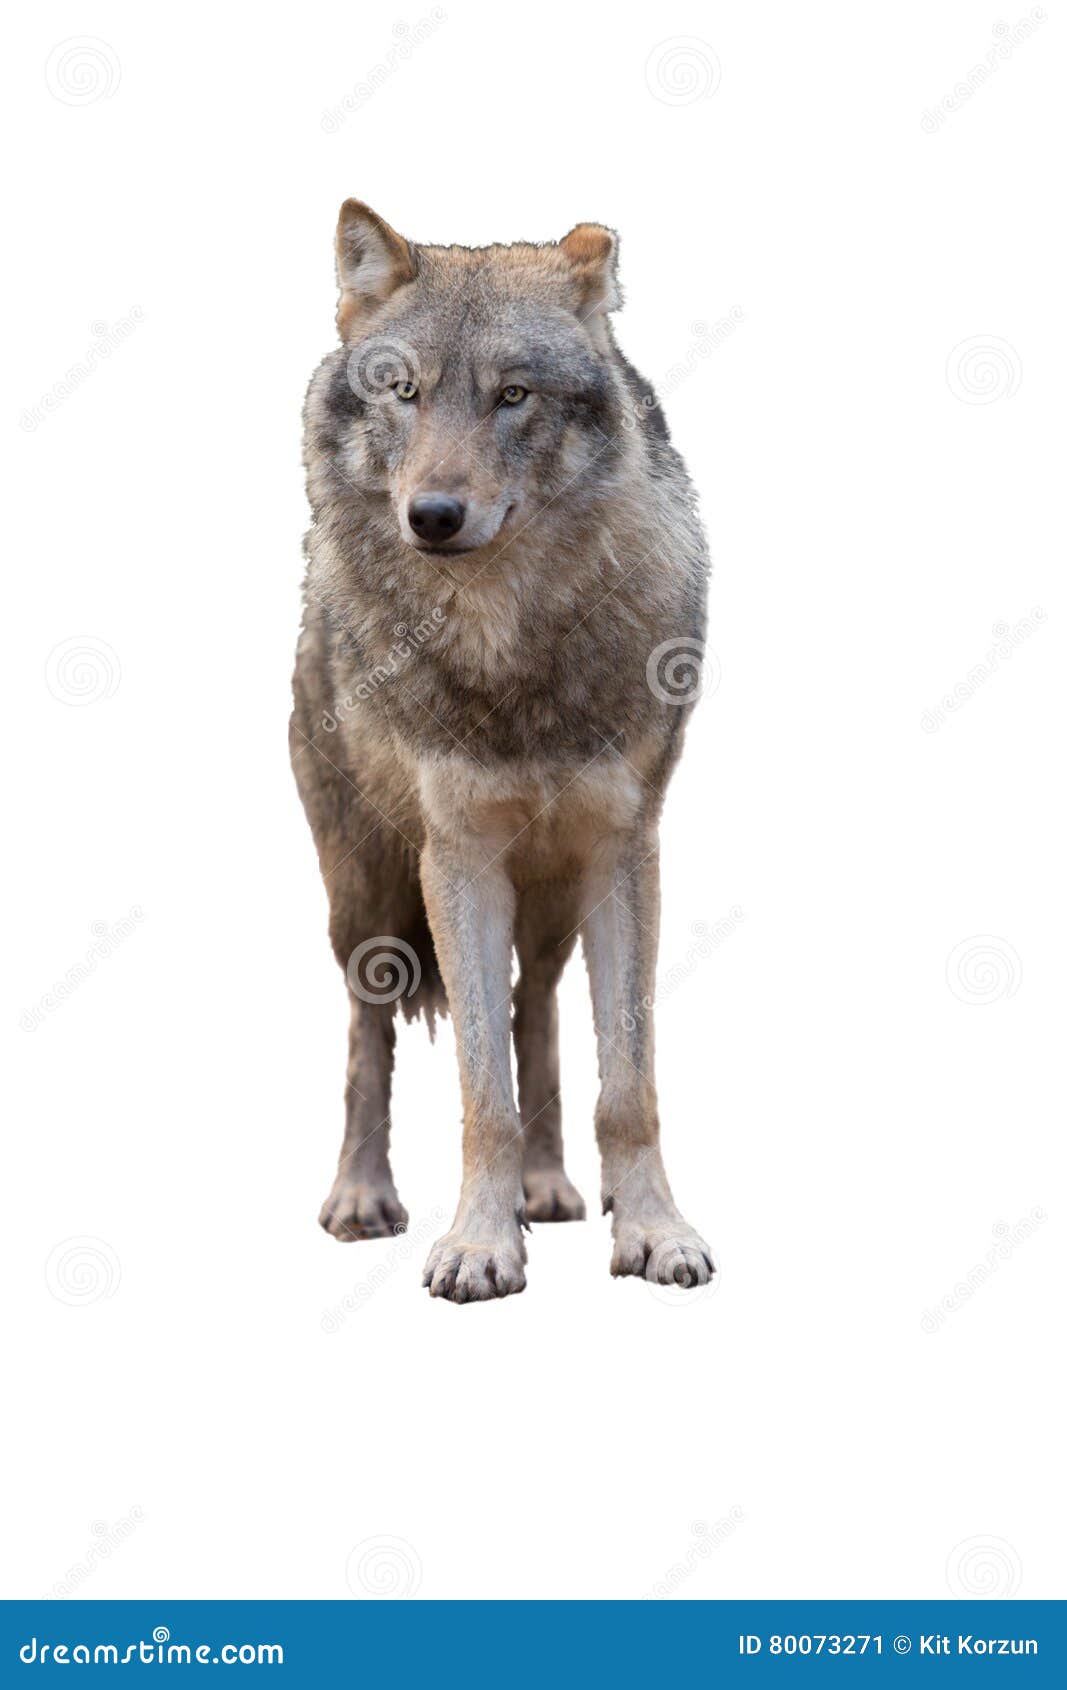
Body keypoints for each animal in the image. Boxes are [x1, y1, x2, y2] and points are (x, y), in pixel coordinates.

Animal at [291, 199, 714, 1301]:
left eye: (512, 396)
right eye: (402, 392)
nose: (433, 517)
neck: (511, 648)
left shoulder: (623, 852)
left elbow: (625, 1085)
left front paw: (652, 1232)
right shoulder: (460, 861)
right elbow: (482, 1091)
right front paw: (478, 1244)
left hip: (550, 901)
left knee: (538, 1011)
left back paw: (550, 1188)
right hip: (367, 900)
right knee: (366, 1042)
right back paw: (362, 1198)